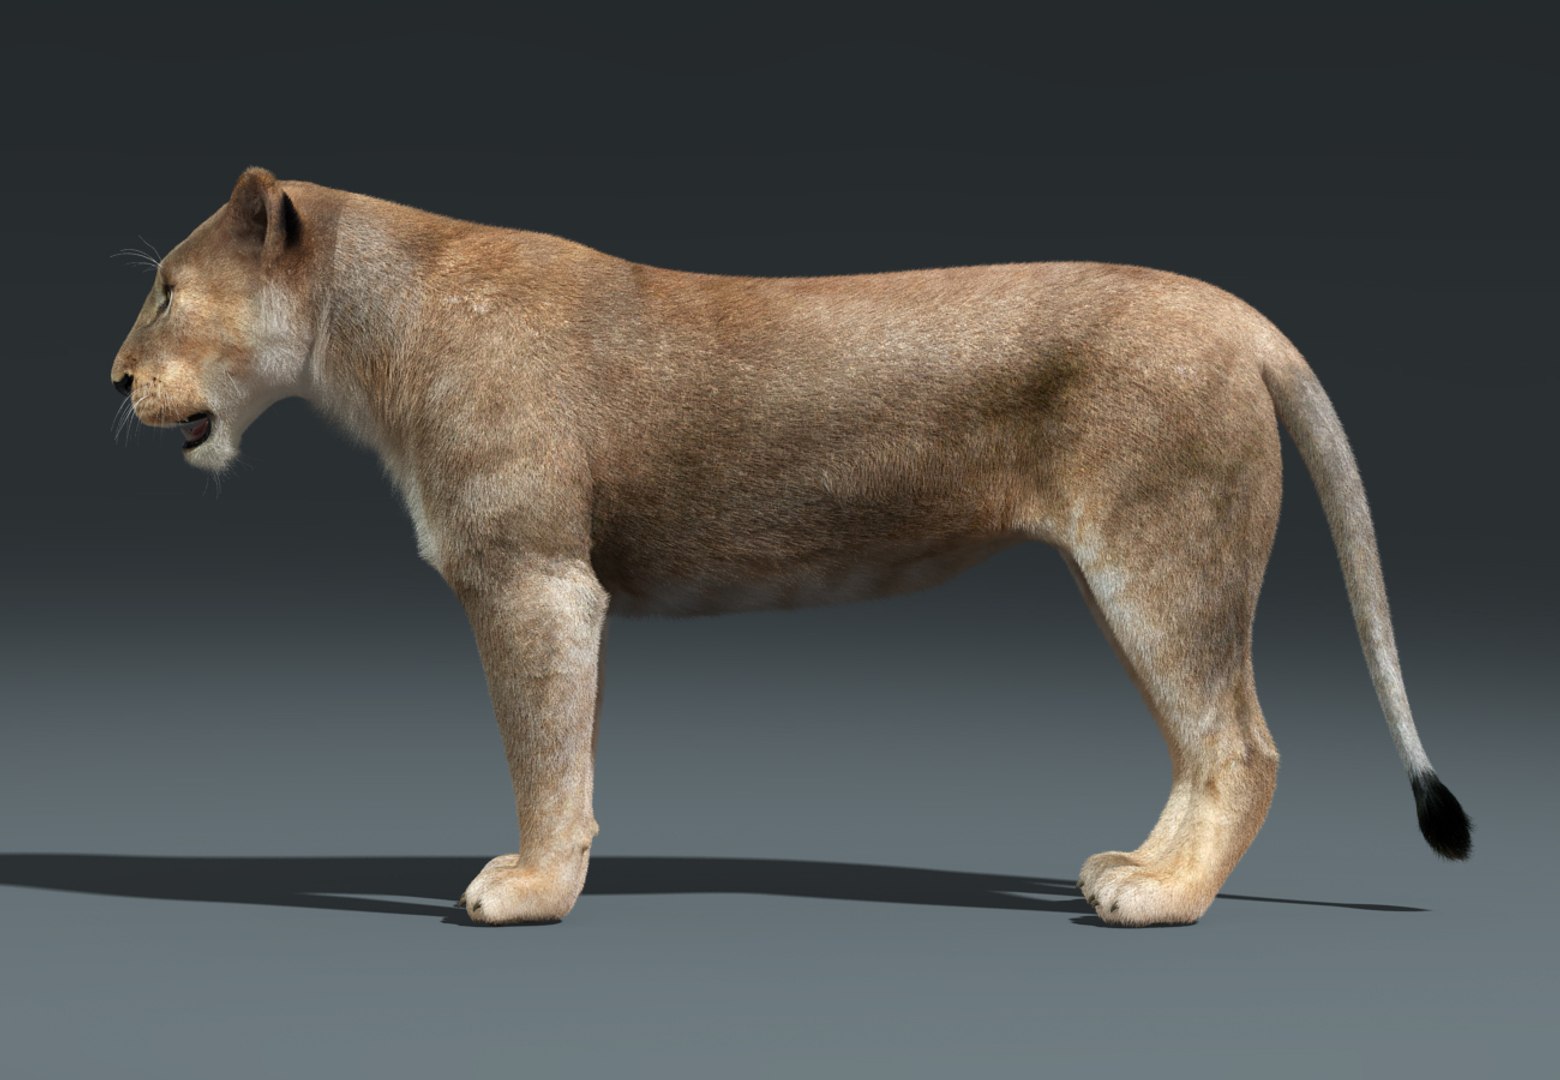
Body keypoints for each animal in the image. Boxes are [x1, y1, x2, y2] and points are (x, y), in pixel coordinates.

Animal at [109, 167, 1471, 926]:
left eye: (168, 289)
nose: (113, 379)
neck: (366, 339)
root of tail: (1240, 314)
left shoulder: (534, 580)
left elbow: (546, 758)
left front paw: (529, 891)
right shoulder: (549, 587)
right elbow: (566, 757)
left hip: (1162, 558)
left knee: (1242, 747)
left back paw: (1163, 901)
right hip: (1134, 575)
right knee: (1206, 746)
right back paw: (1133, 868)